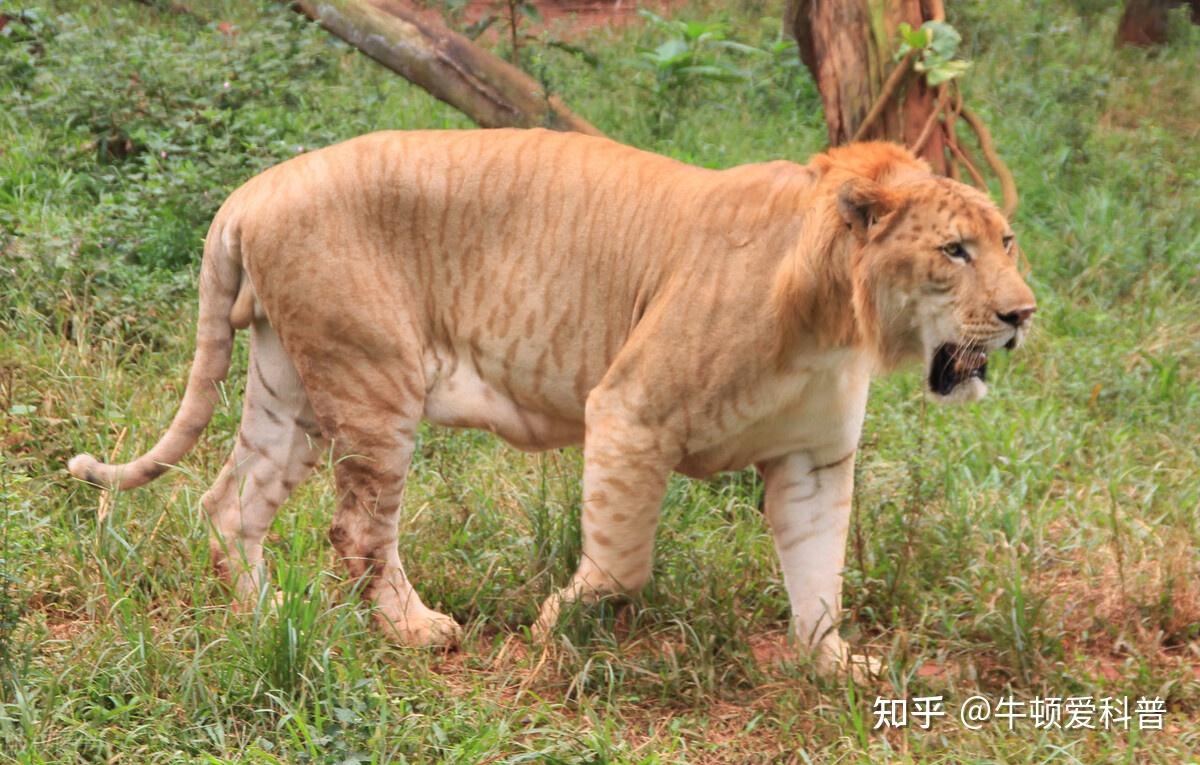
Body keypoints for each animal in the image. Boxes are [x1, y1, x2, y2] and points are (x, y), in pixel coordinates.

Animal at [68, 129, 1036, 677]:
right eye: (954, 250)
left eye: (1007, 242)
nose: (1023, 314)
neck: (838, 320)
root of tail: (251, 191)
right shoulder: (631, 411)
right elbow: (623, 561)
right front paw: (556, 625)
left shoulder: (814, 461)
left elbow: (819, 573)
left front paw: (833, 666)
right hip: (372, 375)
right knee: (357, 531)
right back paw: (416, 631)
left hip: (292, 383)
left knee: (230, 503)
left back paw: (268, 620)